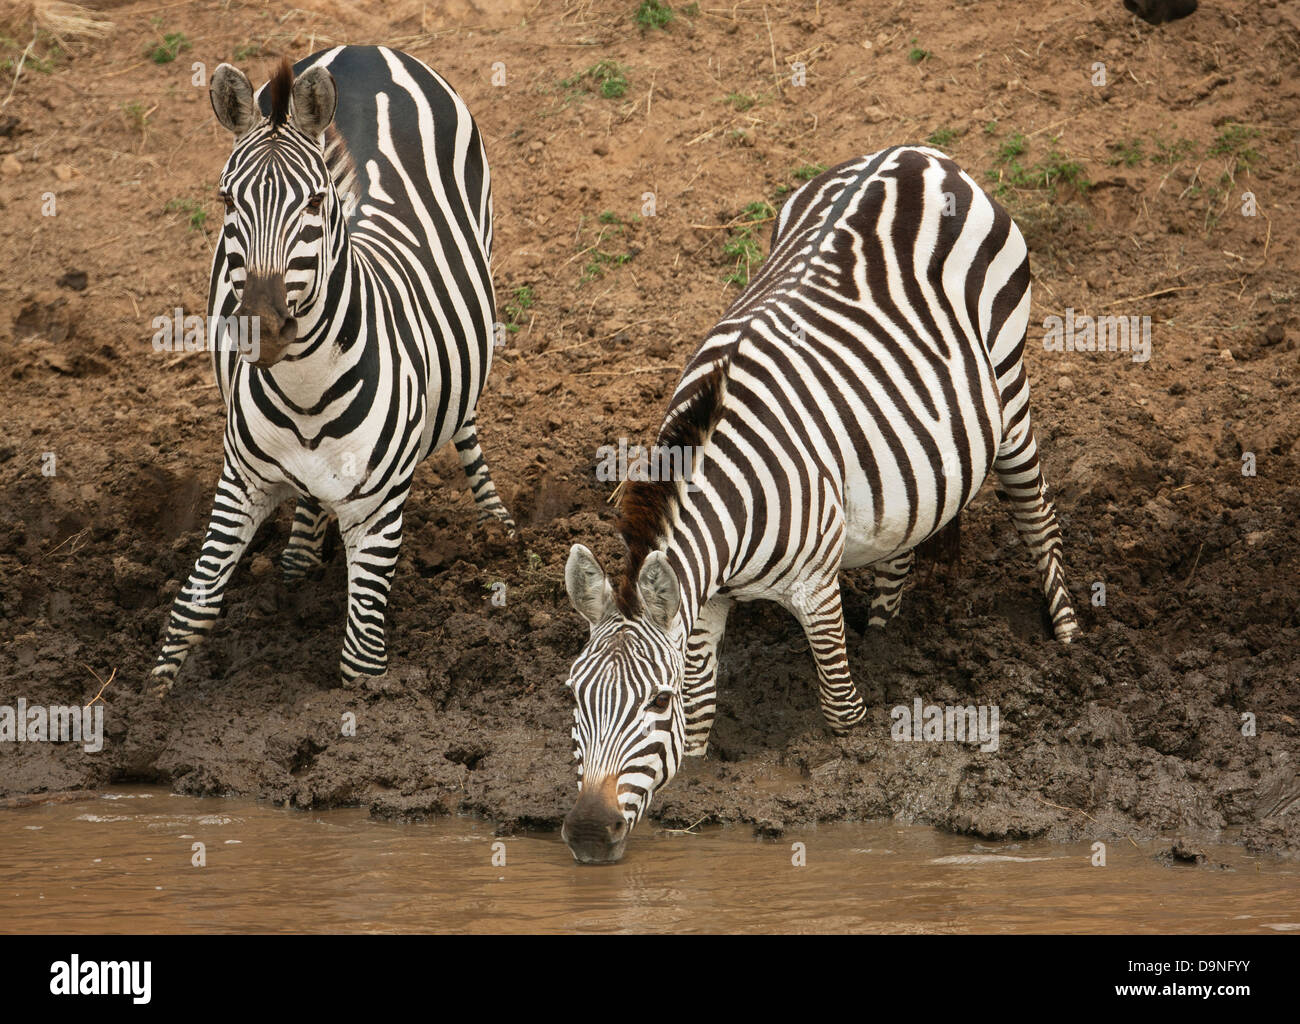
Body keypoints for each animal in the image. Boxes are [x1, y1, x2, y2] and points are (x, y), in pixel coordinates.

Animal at [152, 47, 514, 694]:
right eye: (227, 203)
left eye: (316, 203)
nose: (261, 330)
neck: (307, 394)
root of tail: (368, 50)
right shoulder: (241, 481)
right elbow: (193, 604)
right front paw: (147, 702)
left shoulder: (379, 515)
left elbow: (361, 661)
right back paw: (299, 561)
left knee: (466, 407)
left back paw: (494, 518)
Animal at [560, 146, 1080, 864]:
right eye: (573, 697)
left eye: (656, 704)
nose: (587, 834)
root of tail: (918, 152)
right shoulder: (704, 602)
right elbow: (701, 717)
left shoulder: (813, 589)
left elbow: (839, 709)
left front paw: (852, 769)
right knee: (902, 542)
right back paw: (885, 640)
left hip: (1008, 379)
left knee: (1036, 510)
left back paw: (1067, 638)